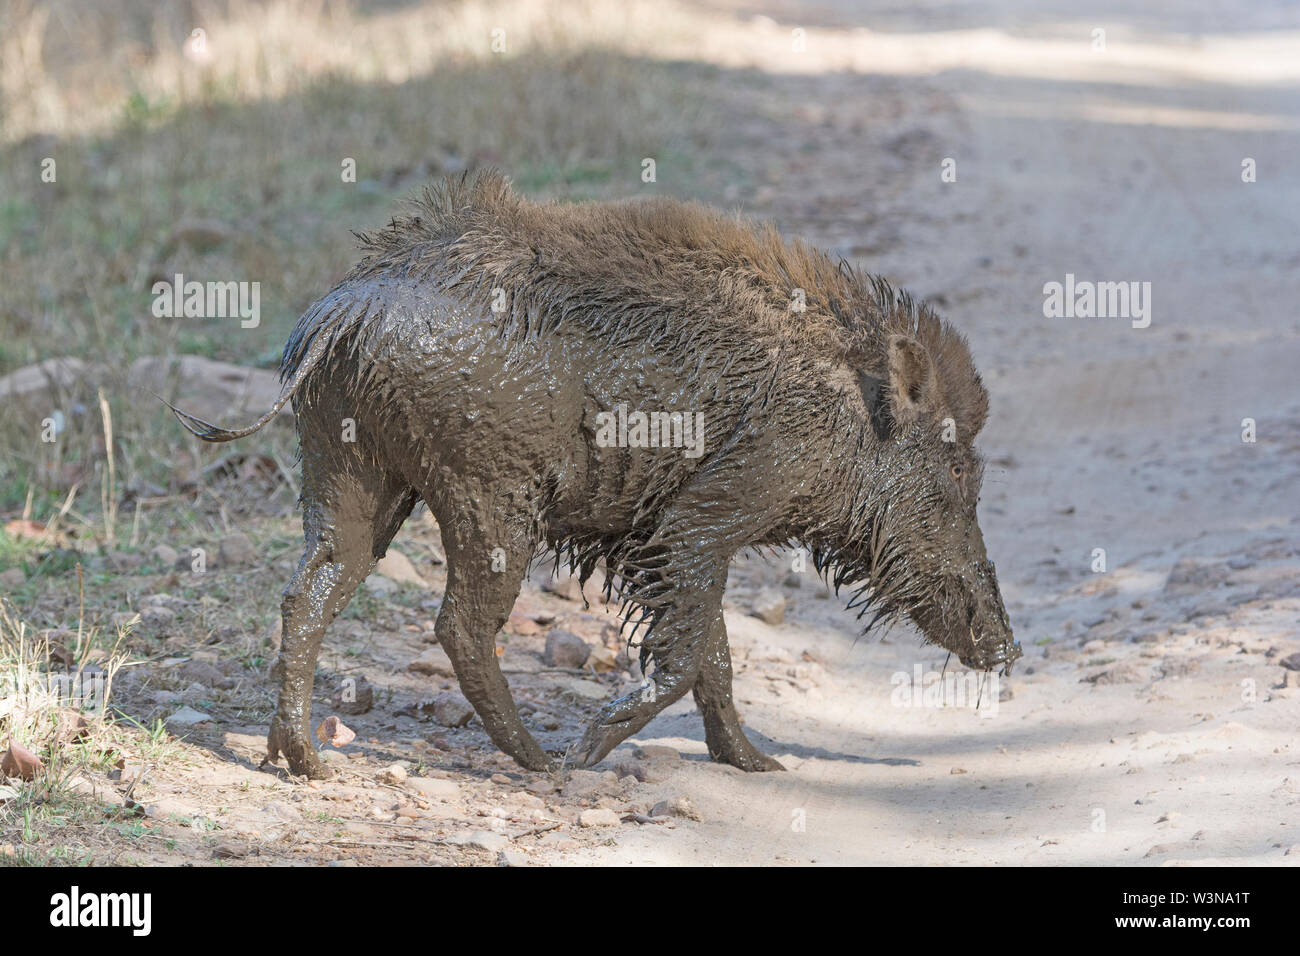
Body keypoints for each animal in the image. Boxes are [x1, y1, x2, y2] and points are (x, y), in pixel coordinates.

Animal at [172, 170, 1019, 778]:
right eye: (954, 470)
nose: (1009, 651)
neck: (844, 415)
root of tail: (351, 309)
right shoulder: (707, 512)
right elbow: (692, 653)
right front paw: (593, 747)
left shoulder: (658, 535)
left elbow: (713, 652)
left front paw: (758, 765)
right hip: (489, 491)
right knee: (459, 623)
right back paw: (544, 764)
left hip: (348, 468)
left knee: (311, 587)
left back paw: (305, 763)